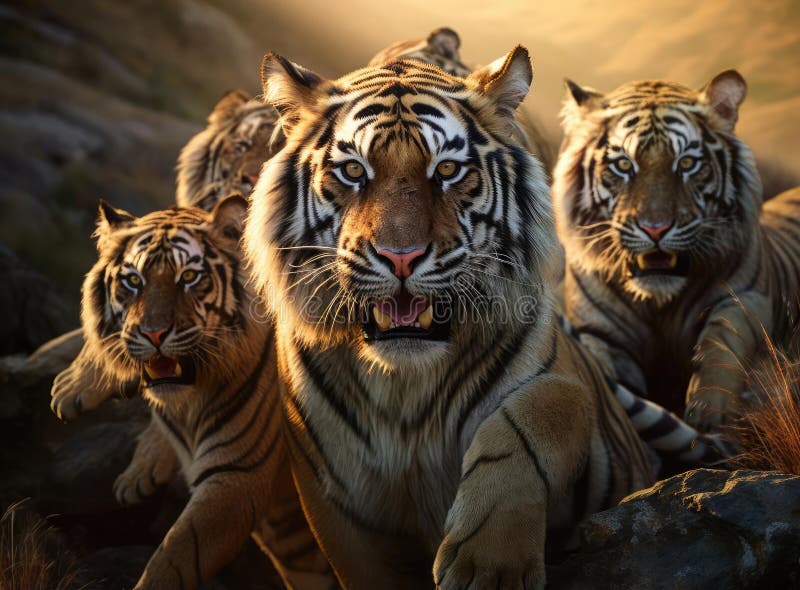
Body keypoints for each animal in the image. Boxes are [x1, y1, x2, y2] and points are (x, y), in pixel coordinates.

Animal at [50, 197, 336, 590]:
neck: (186, 401)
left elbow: (173, 559)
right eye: (134, 281)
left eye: (188, 277)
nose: (153, 334)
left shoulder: (234, 476)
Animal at [244, 47, 654, 589]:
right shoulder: (338, 510)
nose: (400, 257)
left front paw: (490, 566)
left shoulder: (564, 384)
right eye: (353, 170)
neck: (404, 385)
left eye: (447, 170)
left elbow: (529, 424)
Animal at [552, 70, 800, 432]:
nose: (655, 229)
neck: (660, 304)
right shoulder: (598, 332)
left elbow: (722, 342)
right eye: (623, 164)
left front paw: (710, 416)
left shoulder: (747, 299)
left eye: (687, 163)